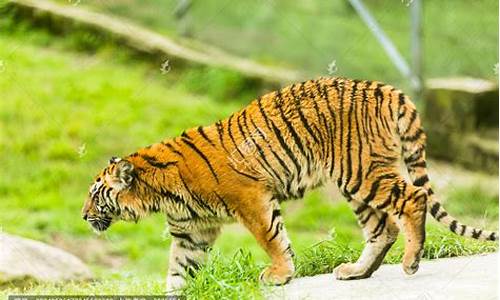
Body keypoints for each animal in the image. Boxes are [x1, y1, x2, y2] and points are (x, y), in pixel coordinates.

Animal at [81, 75, 496, 292]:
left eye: (95, 195)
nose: (83, 216)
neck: (159, 194)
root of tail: (385, 88)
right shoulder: (192, 231)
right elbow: (178, 270)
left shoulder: (250, 199)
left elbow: (272, 237)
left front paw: (279, 274)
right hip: (357, 181)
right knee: (383, 228)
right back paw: (356, 272)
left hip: (362, 172)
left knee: (413, 199)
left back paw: (411, 261)